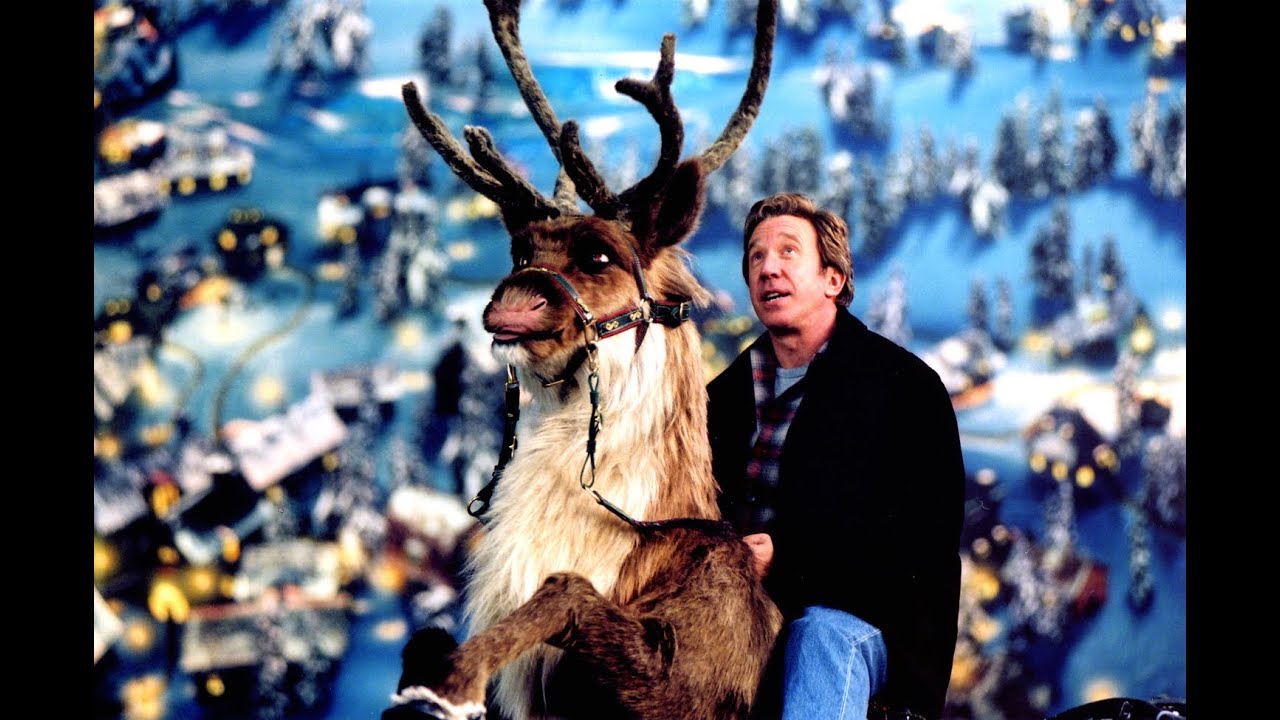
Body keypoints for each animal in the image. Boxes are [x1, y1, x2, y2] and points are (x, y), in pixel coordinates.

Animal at [385, 1, 781, 718]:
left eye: (600, 255)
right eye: (521, 249)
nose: (511, 301)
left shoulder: (688, 687)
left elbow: (564, 591)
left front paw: (456, 675)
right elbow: (430, 634)